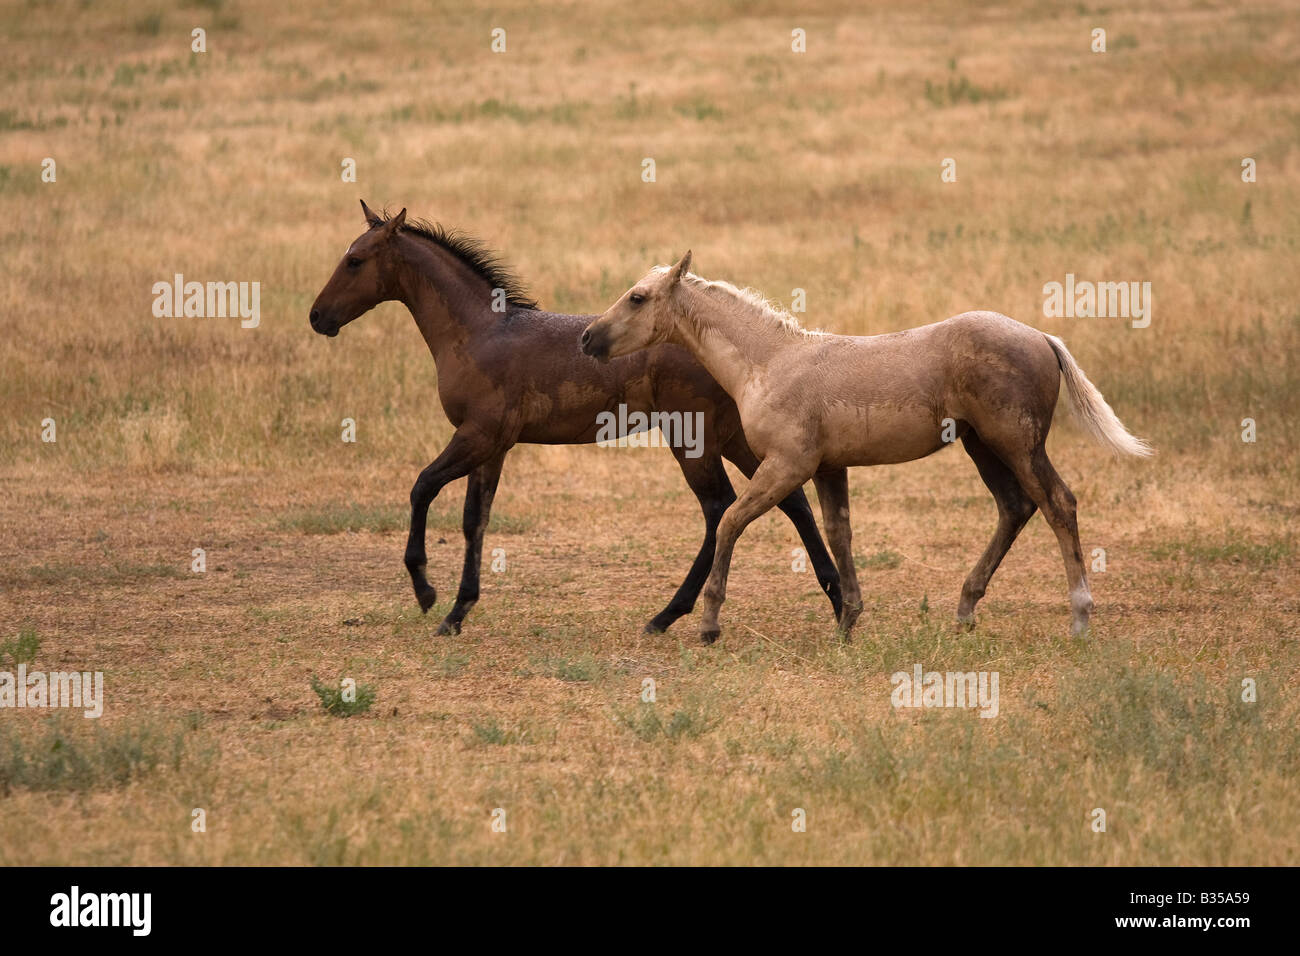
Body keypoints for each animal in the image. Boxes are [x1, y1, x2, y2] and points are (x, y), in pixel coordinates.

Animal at [307, 204, 842, 636]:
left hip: (693, 438)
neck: (480, 332)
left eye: (355, 261)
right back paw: (837, 598)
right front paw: (458, 612)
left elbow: (422, 487)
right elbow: (473, 519)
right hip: (733, 438)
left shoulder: (478, 435)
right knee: (790, 501)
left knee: (720, 508)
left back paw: (668, 615)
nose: (317, 317)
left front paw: (426, 592)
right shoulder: (493, 448)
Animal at [580, 252, 1152, 643]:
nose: (587, 339)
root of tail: (1040, 337)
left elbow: (730, 523)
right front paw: (847, 622)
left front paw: (709, 624)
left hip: (1016, 443)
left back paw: (1079, 617)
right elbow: (840, 533)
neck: (771, 362)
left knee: (1058, 504)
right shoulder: (829, 468)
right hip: (983, 448)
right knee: (1015, 508)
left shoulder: (786, 467)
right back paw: (965, 610)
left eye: (637, 297)